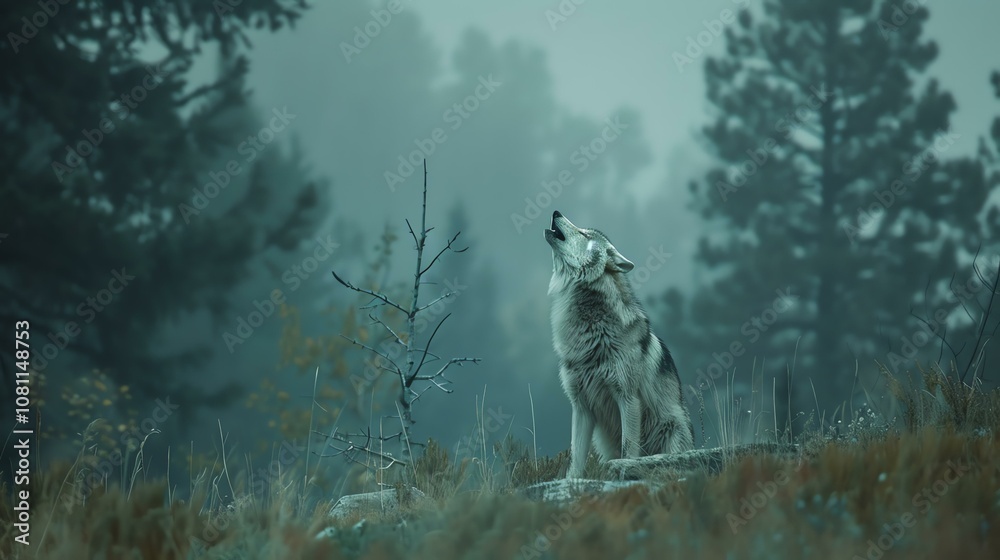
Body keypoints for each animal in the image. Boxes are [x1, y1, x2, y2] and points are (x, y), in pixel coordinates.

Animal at [544, 211, 693, 478]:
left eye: (584, 234)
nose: (556, 212)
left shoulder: (628, 399)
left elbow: (628, 450)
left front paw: (625, 471)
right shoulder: (580, 407)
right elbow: (576, 459)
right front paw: (572, 482)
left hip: (672, 427)